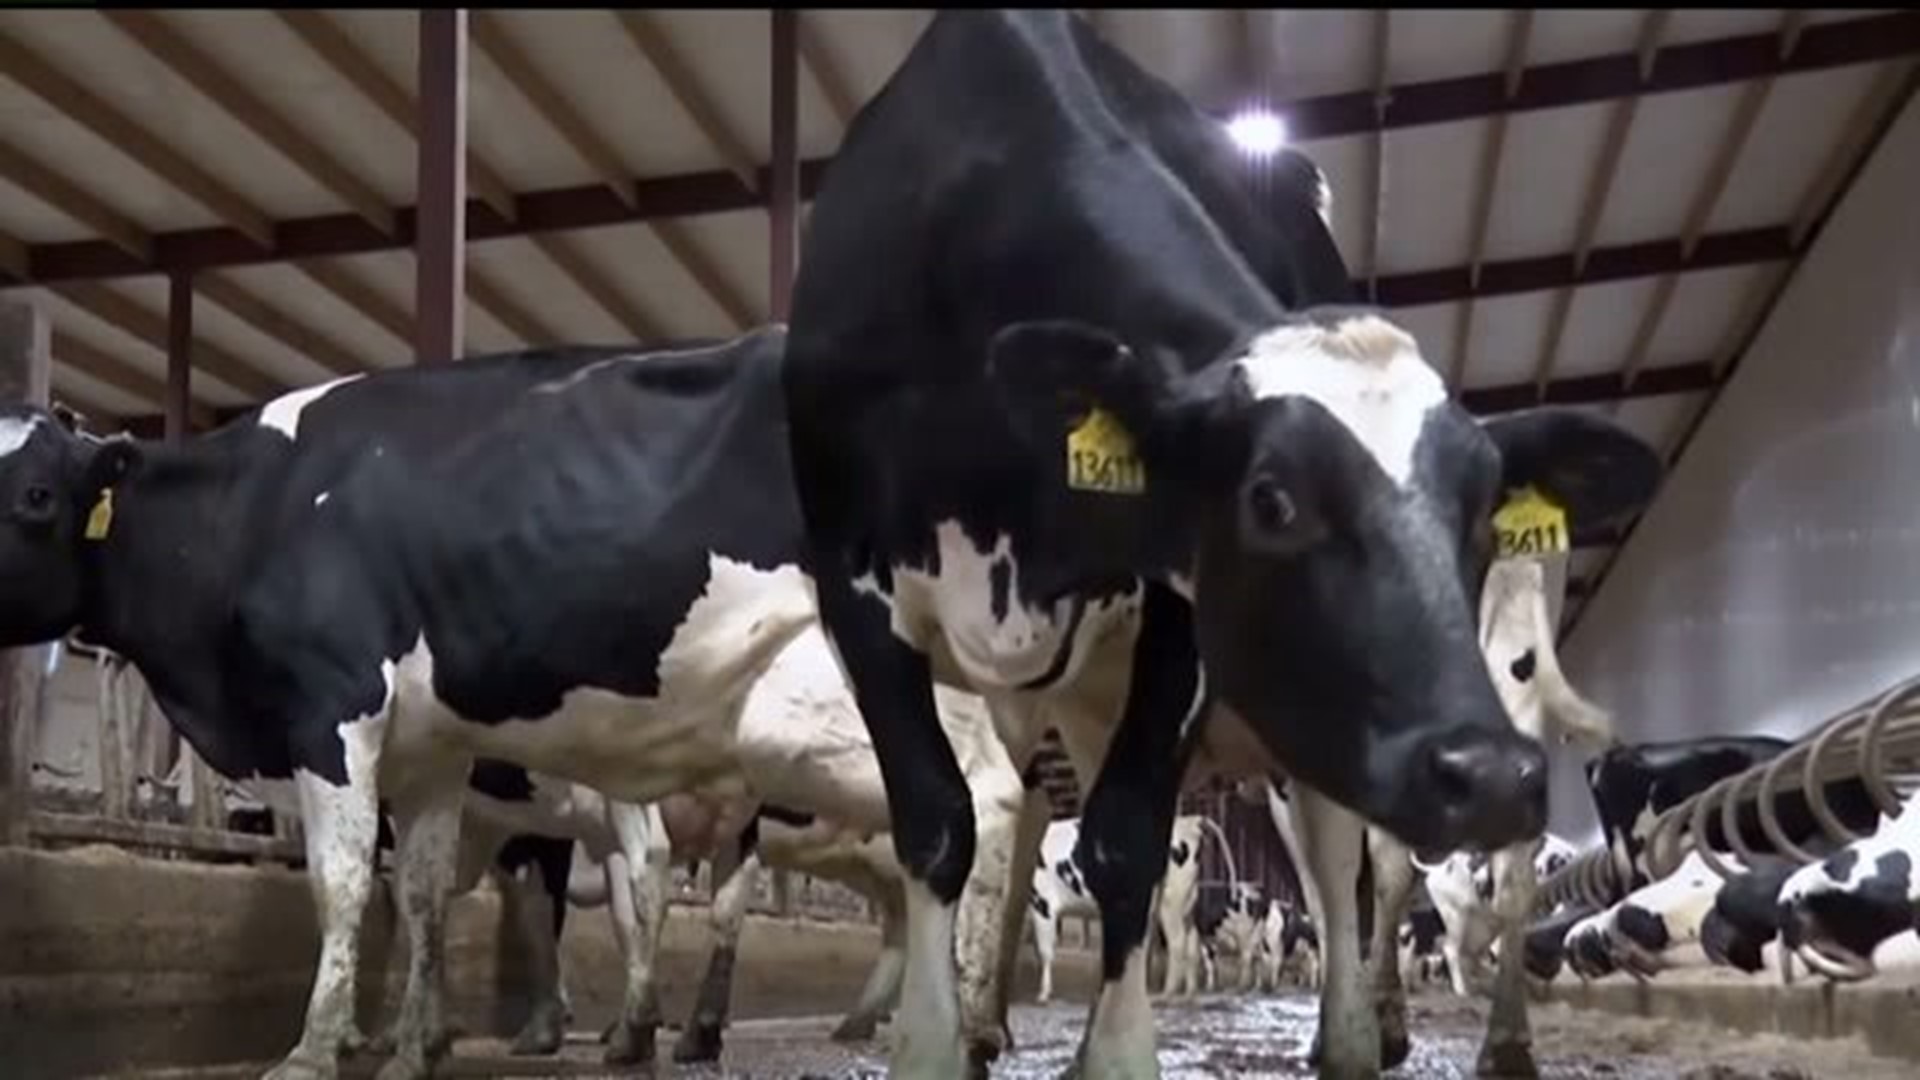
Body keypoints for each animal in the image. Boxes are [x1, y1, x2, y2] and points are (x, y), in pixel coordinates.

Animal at [781, 12, 1661, 1076]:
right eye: (1268, 500)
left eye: (1484, 511)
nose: (1492, 777)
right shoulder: (852, 584)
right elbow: (941, 820)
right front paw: (938, 1040)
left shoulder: (1180, 611)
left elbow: (1126, 837)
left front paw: (1116, 1057)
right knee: (1044, 818)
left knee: (1350, 861)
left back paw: (1373, 1032)